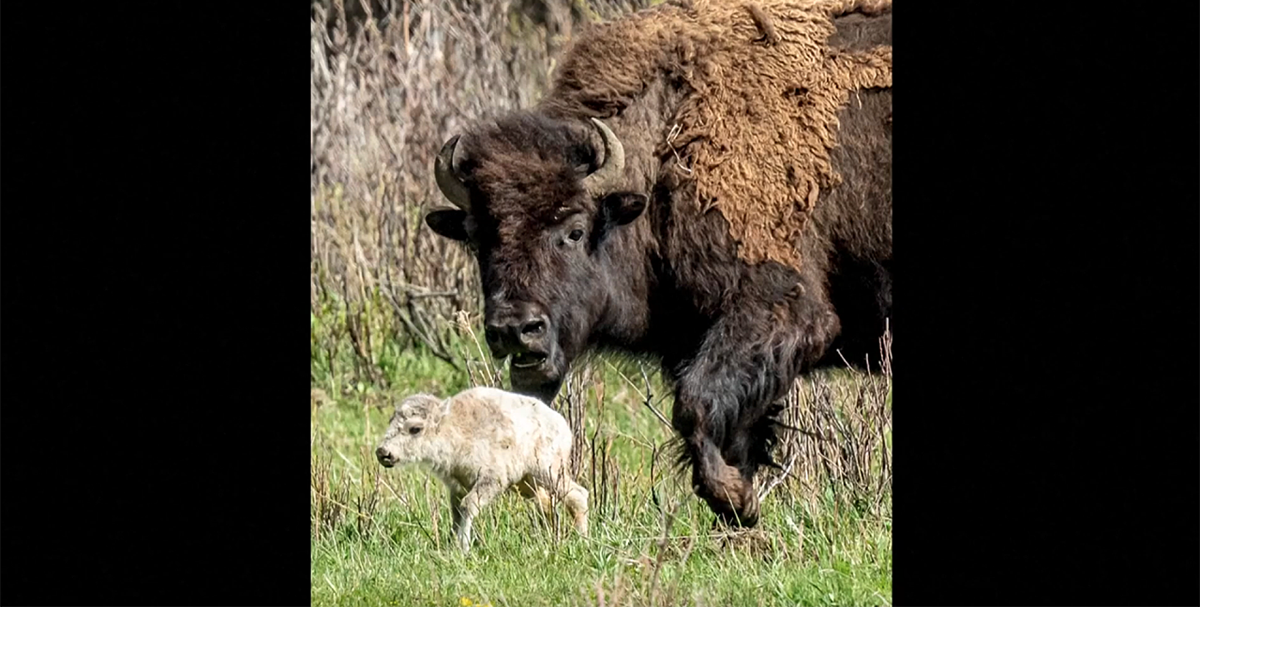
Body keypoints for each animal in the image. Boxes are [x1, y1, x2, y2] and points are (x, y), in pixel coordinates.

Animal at [420, 0, 892, 527]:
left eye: (575, 230)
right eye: (477, 238)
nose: (515, 329)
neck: (668, 147)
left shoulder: (779, 309)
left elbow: (696, 404)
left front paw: (734, 499)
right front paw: (740, 504)